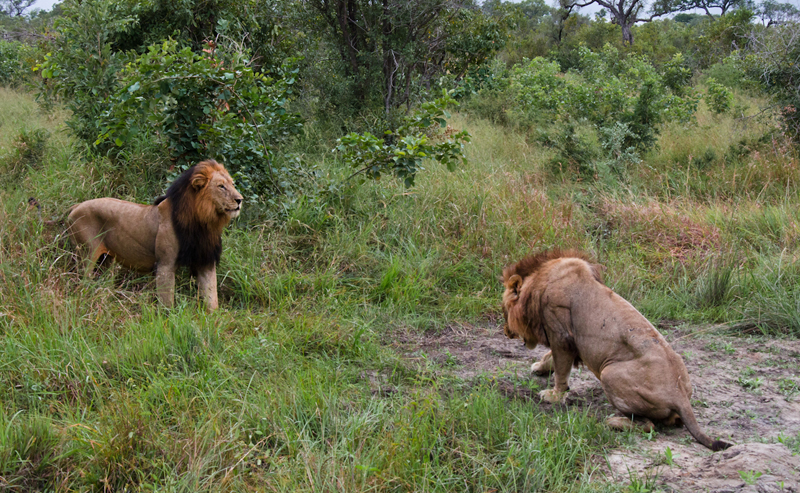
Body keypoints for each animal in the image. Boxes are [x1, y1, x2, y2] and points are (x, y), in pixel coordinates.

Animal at [67, 159, 242, 311]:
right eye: (221, 186)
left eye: (232, 184)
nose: (240, 199)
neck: (204, 222)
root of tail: (75, 206)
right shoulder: (165, 264)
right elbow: (167, 301)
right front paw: (168, 320)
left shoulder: (205, 261)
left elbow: (212, 298)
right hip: (87, 255)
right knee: (82, 282)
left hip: (107, 261)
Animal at [501, 250, 732, 451]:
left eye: (504, 310)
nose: (506, 332)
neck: (539, 280)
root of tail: (680, 395)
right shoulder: (566, 339)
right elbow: (551, 359)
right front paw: (540, 368)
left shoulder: (560, 334)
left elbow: (561, 370)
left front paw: (554, 395)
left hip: (609, 373)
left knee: (648, 425)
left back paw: (612, 421)